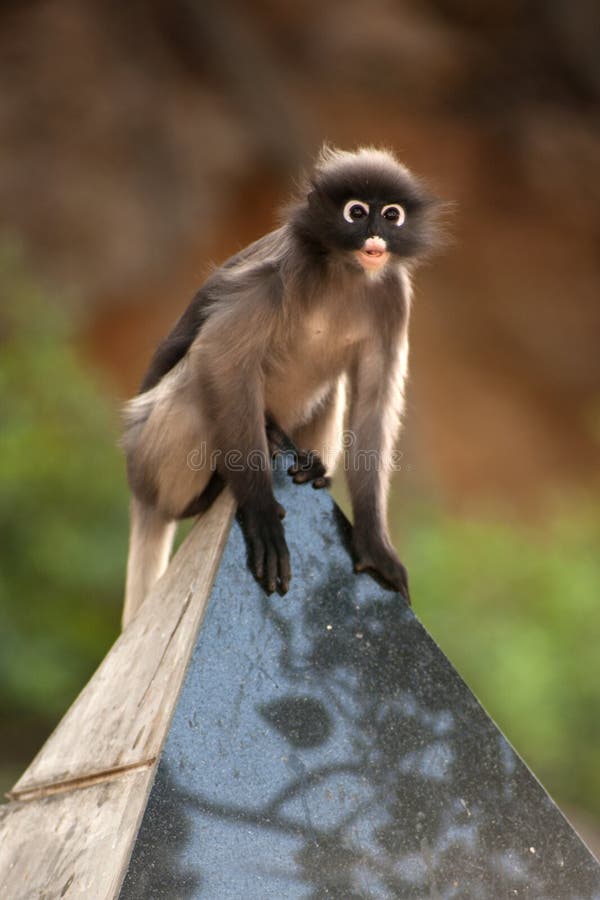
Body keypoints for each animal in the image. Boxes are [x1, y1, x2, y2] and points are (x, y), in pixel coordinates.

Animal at [121, 146, 439, 628]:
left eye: (391, 215)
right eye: (356, 212)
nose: (375, 236)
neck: (345, 272)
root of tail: (140, 491)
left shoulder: (393, 295)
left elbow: (374, 404)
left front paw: (374, 543)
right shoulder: (278, 272)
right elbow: (219, 358)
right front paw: (261, 513)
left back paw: (308, 463)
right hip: (150, 457)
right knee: (195, 382)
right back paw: (220, 480)